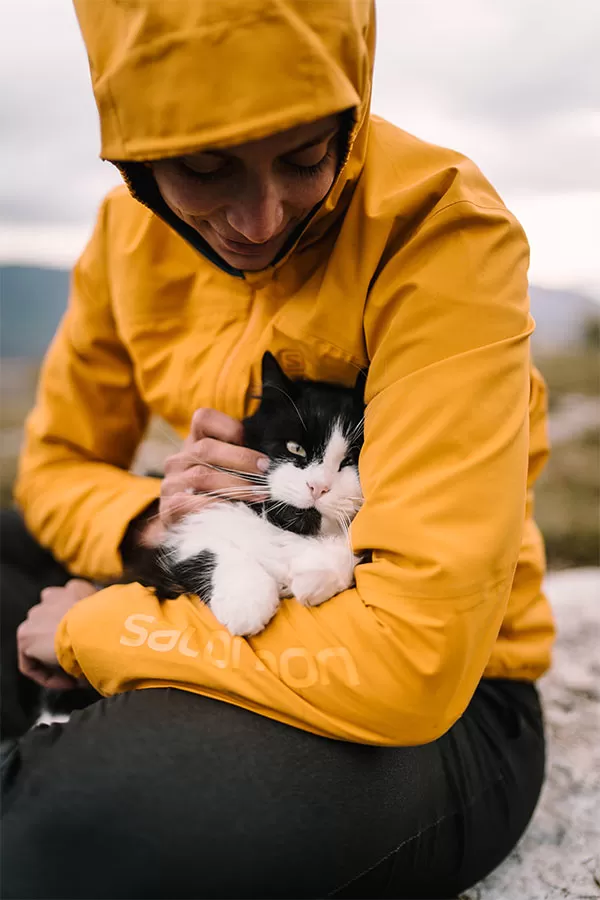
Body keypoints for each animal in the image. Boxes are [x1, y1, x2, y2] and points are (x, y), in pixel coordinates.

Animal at [140, 352, 366, 632]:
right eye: (295, 448)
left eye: (351, 460)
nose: (318, 487)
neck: (283, 531)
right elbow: (214, 546)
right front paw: (246, 602)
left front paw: (313, 577)